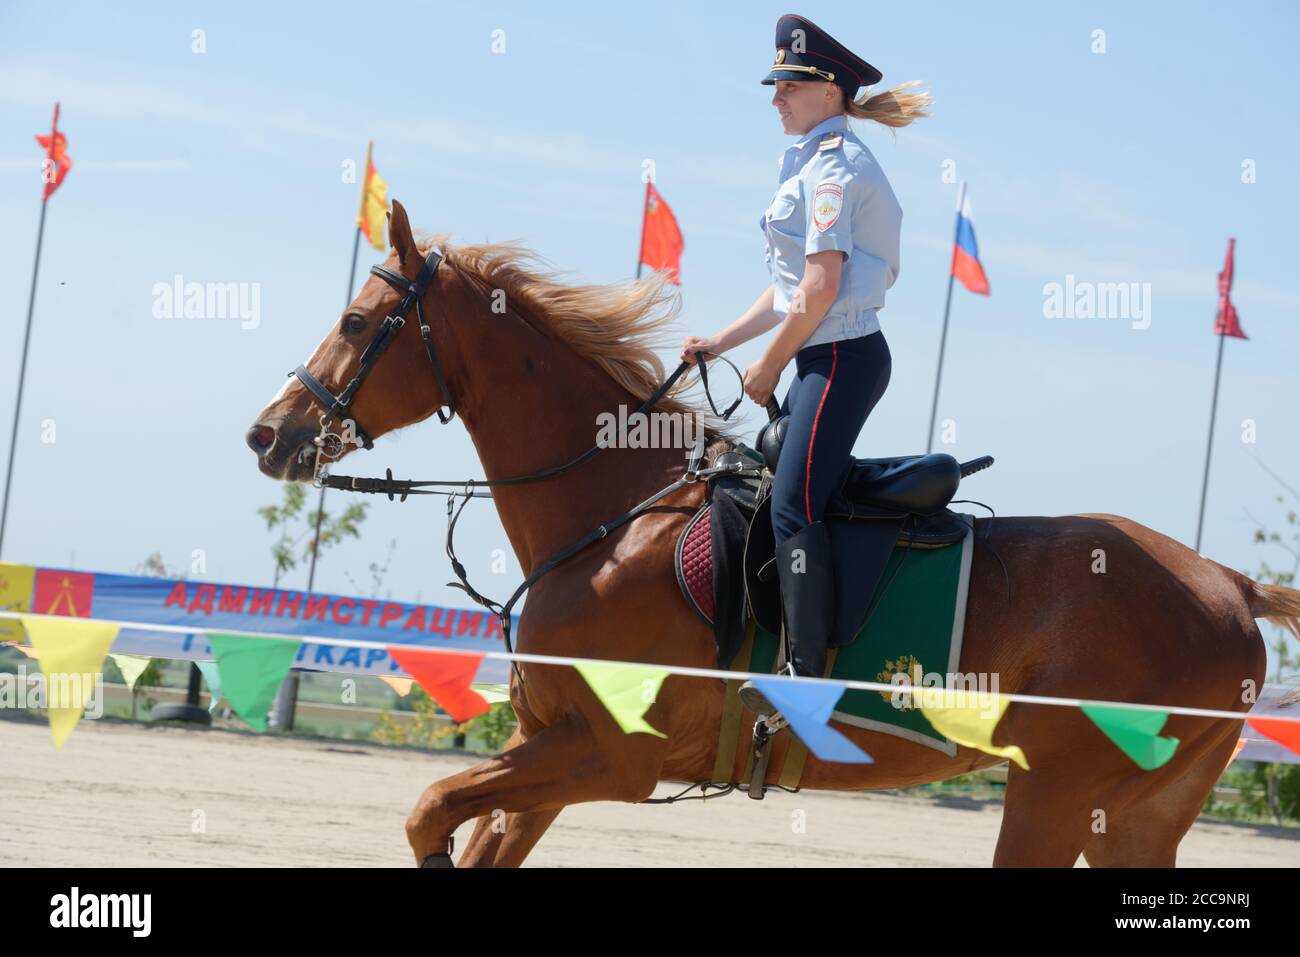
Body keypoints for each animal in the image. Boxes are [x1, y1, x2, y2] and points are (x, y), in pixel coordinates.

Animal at [246, 199, 1299, 867]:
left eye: (356, 319)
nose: (268, 433)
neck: (607, 520)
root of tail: (1225, 582)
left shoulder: (609, 758)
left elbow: (431, 812)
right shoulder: (550, 756)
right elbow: (476, 835)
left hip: (1057, 798)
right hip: (1136, 816)